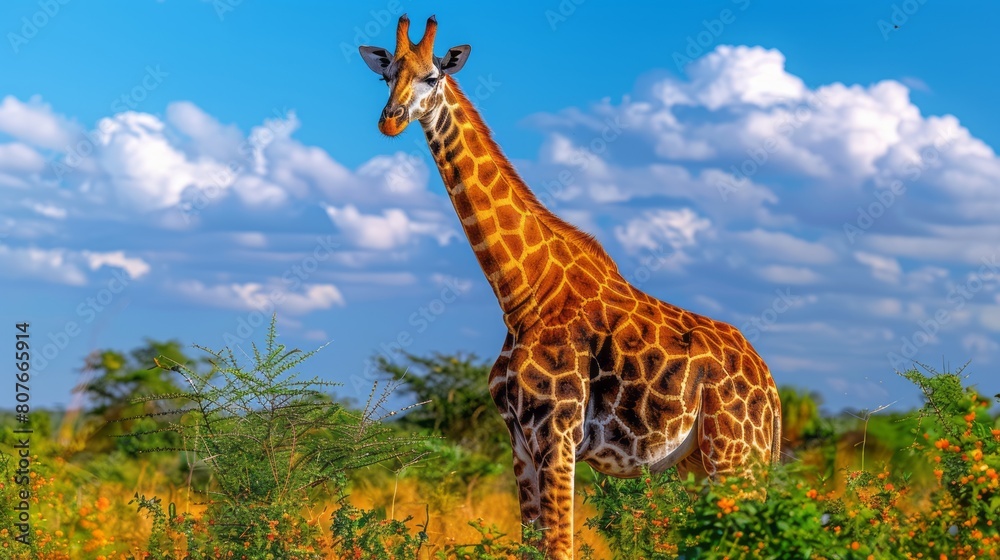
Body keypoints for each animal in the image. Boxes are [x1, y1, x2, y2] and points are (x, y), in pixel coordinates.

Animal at [359, 15, 782, 559]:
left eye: (432, 76)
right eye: (387, 73)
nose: (389, 121)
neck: (522, 294)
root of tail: (771, 389)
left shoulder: (556, 434)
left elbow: (561, 546)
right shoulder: (519, 440)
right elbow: (533, 544)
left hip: (735, 458)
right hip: (703, 464)